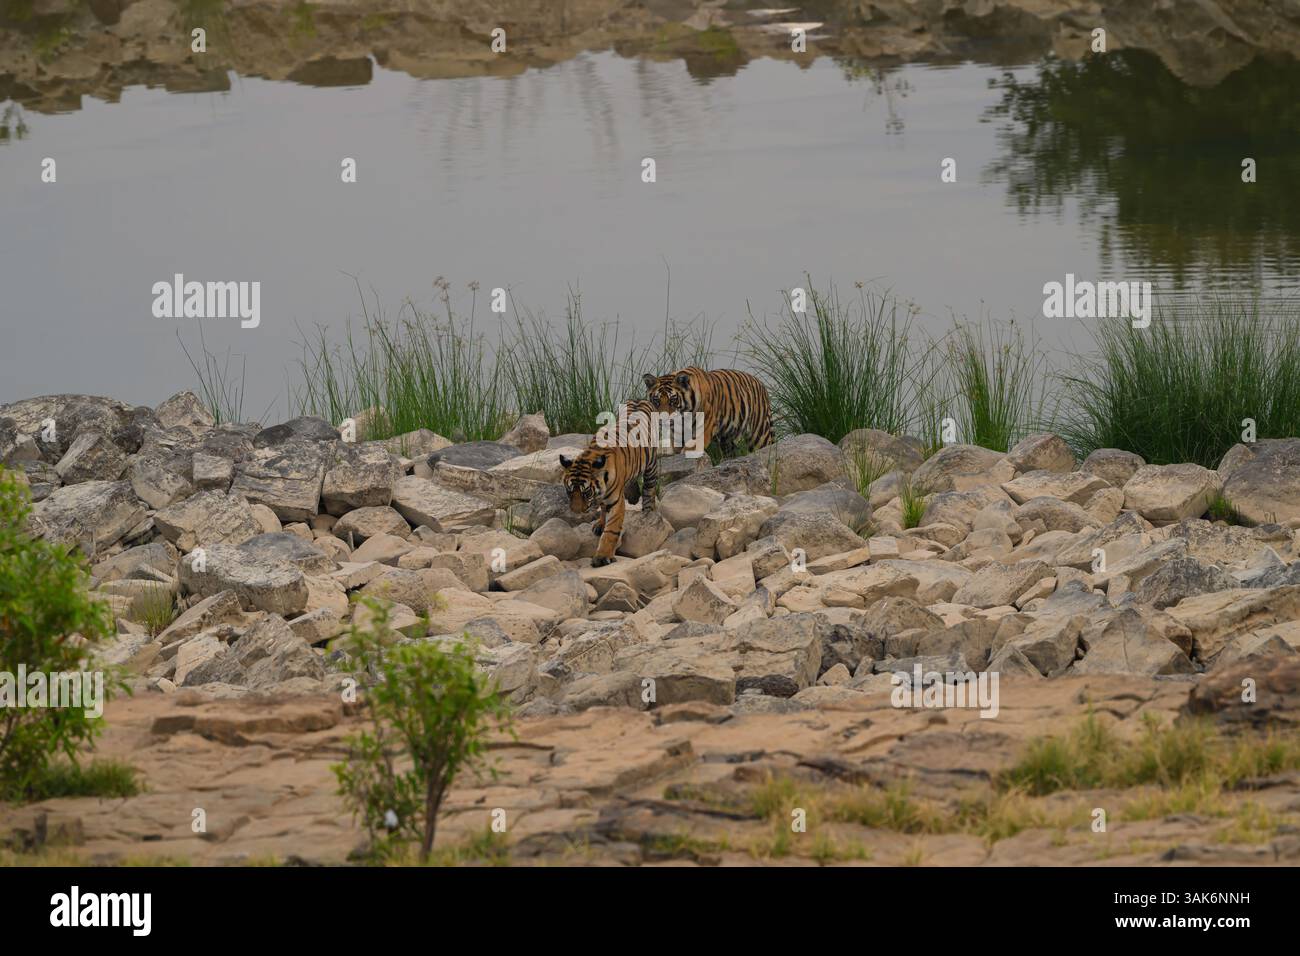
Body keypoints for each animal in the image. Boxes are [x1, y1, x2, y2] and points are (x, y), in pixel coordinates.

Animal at [559, 399, 661, 567]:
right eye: (569, 491)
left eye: (586, 492)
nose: (576, 512)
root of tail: (639, 399)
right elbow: (602, 508)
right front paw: (600, 523)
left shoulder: (616, 502)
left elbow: (611, 530)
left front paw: (602, 556)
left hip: (651, 466)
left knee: (649, 490)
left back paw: (648, 511)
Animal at [642, 366, 774, 457]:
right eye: (656, 400)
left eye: (673, 400)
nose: (662, 420)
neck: (684, 417)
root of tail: (760, 383)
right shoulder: (677, 437)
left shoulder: (704, 429)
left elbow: (691, 447)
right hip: (727, 439)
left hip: (760, 435)